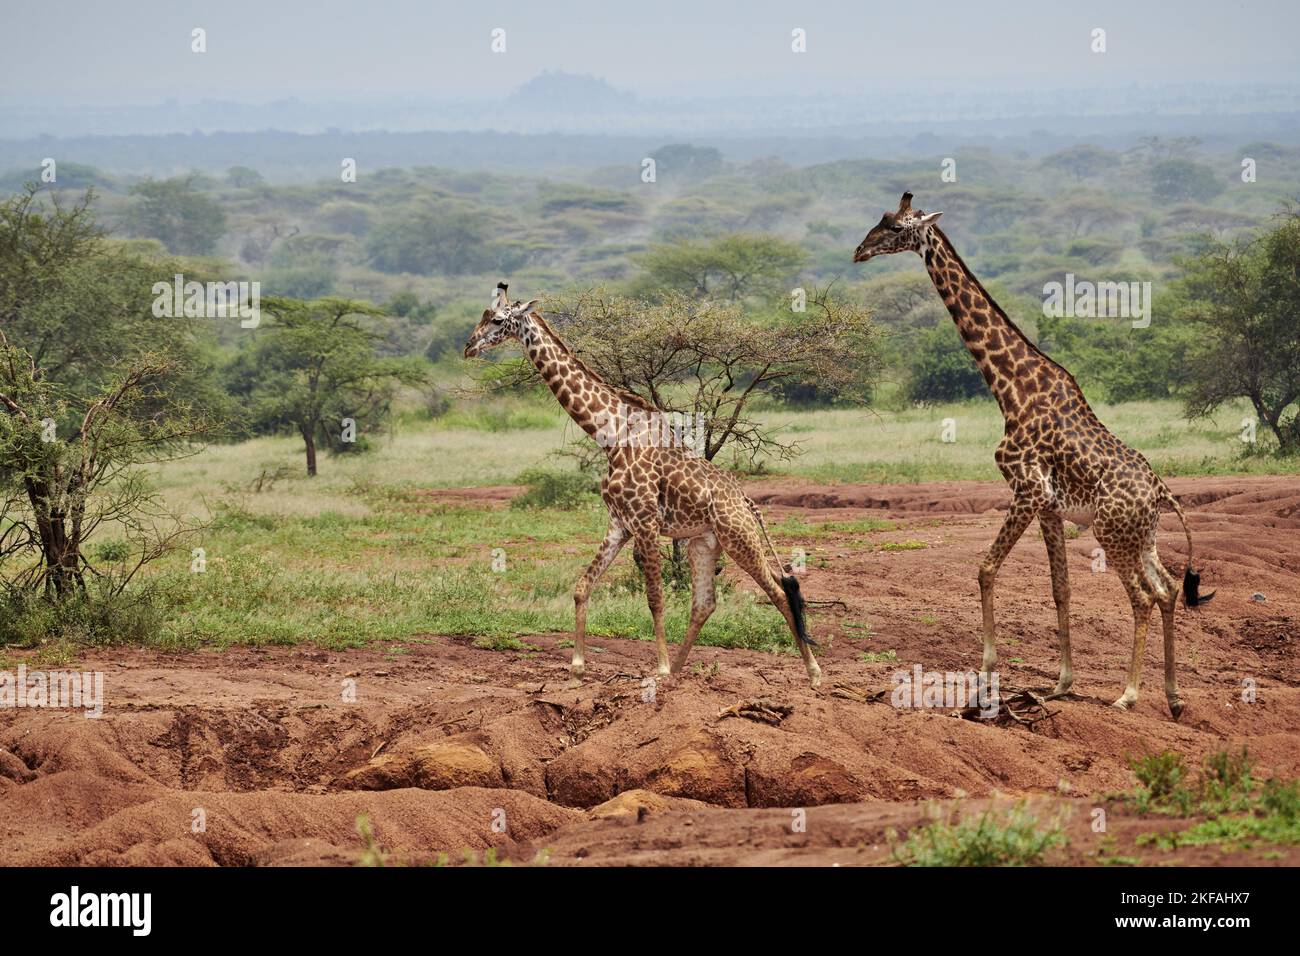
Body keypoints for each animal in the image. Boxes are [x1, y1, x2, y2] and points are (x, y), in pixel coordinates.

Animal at [463, 283, 822, 686]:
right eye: (481, 316)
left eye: (497, 320)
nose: (469, 346)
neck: (611, 437)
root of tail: (748, 502)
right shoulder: (620, 524)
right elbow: (582, 587)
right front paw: (578, 665)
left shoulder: (646, 522)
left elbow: (654, 597)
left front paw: (658, 666)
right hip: (703, 543)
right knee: (705, 603)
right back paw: (680, 671)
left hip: (738, 537)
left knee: (779, 591)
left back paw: (813, 673)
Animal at [853, 193, 1212, 718]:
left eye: (896, 227)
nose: (859, 251)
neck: (1010, 390)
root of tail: (1162, 491)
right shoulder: (1049, 506)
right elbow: (1060, 588)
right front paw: (1061, 683)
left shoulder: (1027, 490)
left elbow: (985, 569)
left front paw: (986, 672)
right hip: (1141, 535)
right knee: (1166, 590)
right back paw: (1173, 696)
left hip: (1112, 532)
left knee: (1144, 597)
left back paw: (1128, 694)